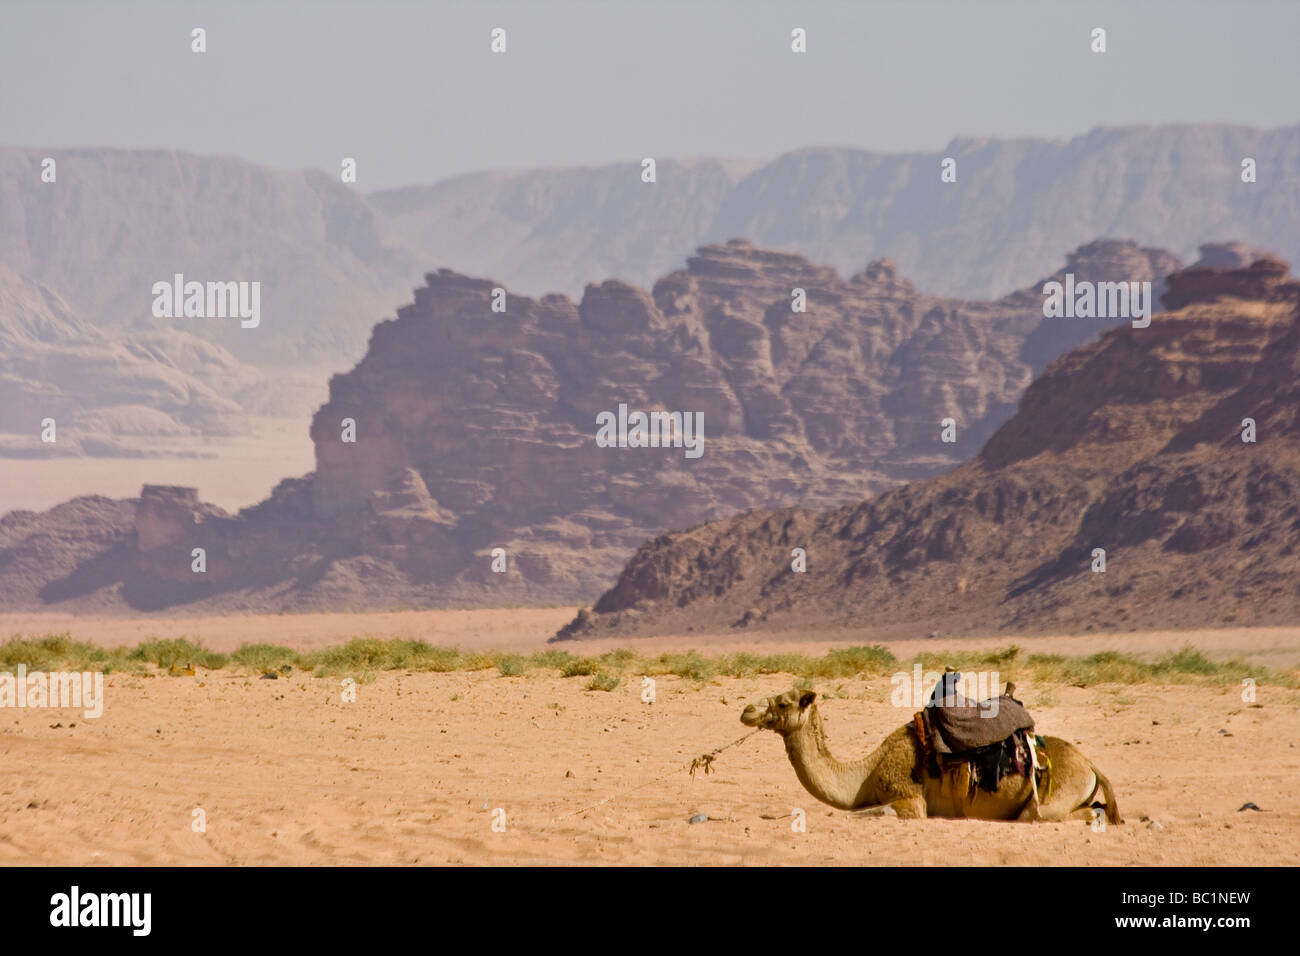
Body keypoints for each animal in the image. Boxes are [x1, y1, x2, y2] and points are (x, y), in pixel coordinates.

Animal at [740, 687, 1121, 822]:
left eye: (784, 702)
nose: (747, 710)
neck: (866, 772)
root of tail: (1091, 766)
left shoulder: (909, 797)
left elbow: (872, 812)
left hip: (1049, 798)